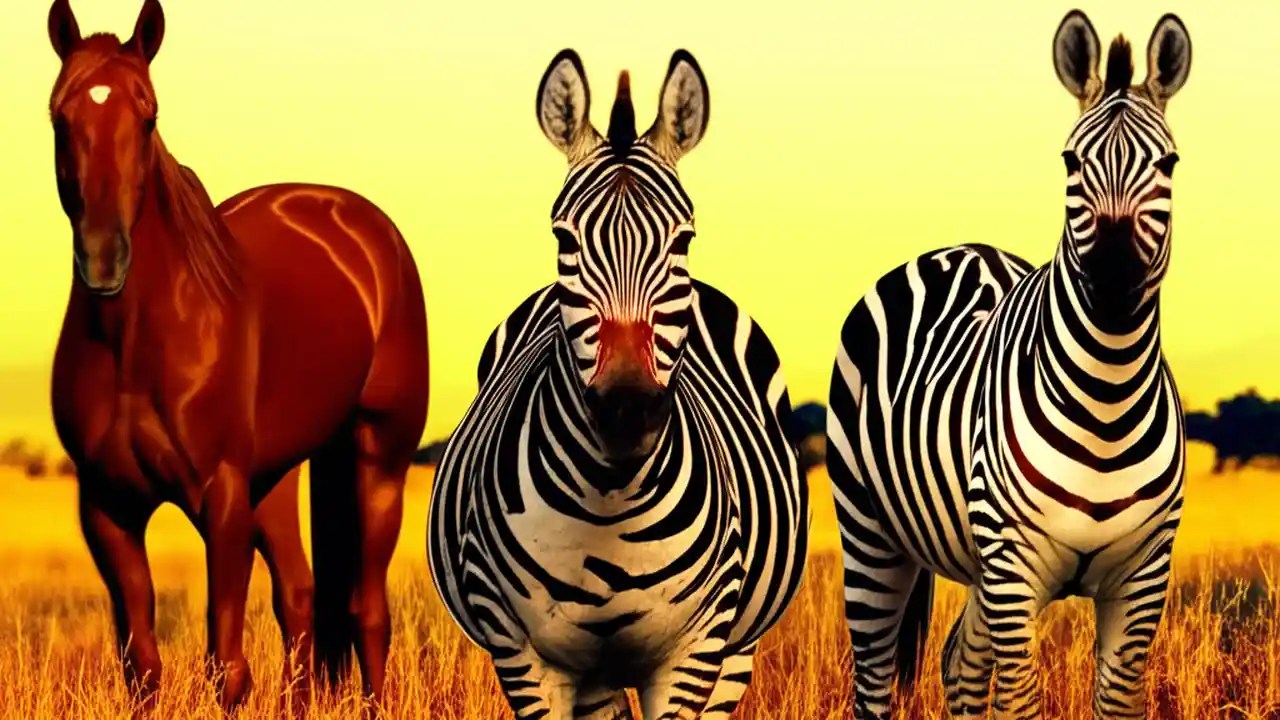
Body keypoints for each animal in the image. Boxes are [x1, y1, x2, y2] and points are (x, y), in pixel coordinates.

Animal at [44, 0, 429, 709]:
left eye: (149, 115)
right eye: (60, 115)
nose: (104, 259)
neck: (136, 344)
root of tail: (362, 227)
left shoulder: (220, 498)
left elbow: (227, 667)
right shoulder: (108, 508)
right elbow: (143, 665)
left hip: (379, 459)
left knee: (367, 609)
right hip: (274, 477)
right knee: (301, 601)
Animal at [428, 49, 809, 719]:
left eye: (685, 239)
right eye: (564, 239)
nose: (628, 409)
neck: (612, 503)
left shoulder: (695, 653)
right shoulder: (524, 656)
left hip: (739, 647)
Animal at [826, 11, 1191, 719]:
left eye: (1168, 162)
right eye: (1071, 161)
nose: (1112, 283)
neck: (1106, 406)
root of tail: (955, 247)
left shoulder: (1142, 578)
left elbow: (1117, 700)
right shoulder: (1015, 570)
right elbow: (1020, 701)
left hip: (975, 560)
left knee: (959, 661)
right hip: (870, 533)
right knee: (875, 681)